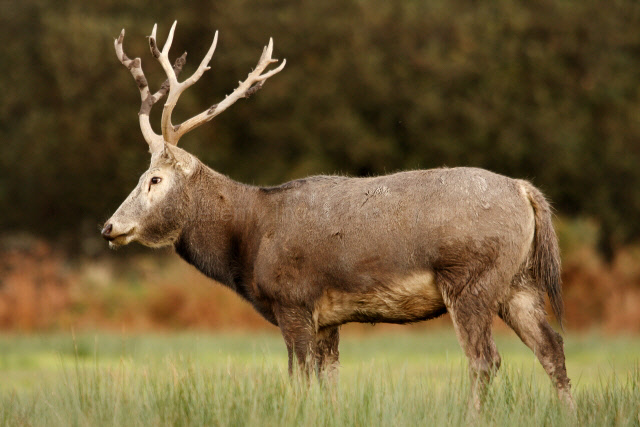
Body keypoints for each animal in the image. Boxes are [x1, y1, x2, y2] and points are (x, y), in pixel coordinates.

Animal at [102, 22, 575, 411]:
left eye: (155, 179)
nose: (110, 227)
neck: (250, 238)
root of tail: (525, 190)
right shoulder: (328, 318)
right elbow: (329, 381)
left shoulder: (293, 300)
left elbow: (299, 380)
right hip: (517, 282)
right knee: (552, 347)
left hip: (471, 278)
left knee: (485, 360)